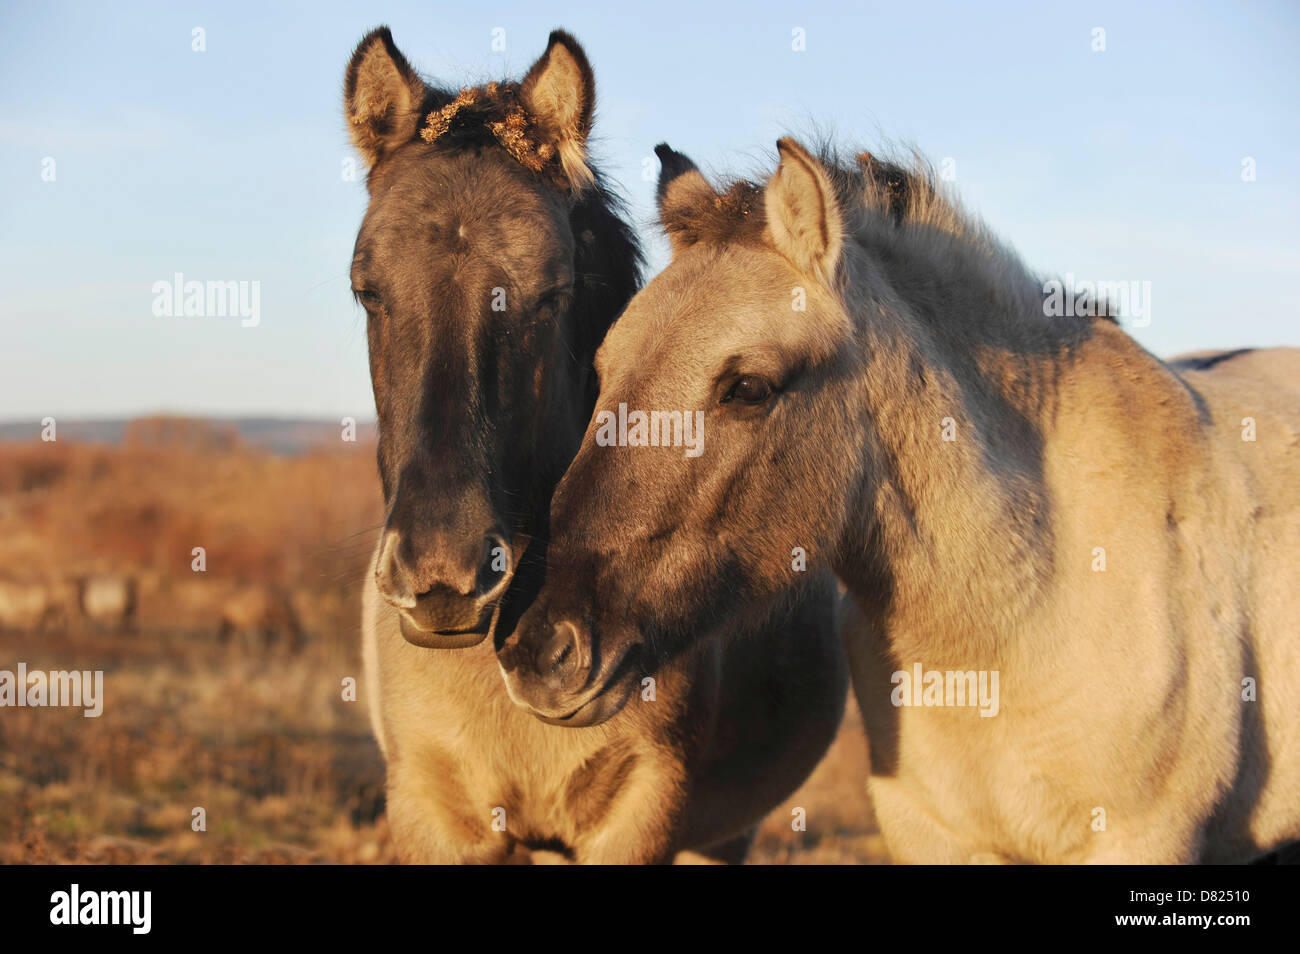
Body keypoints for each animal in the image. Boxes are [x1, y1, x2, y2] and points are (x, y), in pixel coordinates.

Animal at [498, 135, 1300, 863]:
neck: (1020, 613)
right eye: (605, 370)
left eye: (748, 388)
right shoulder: (930, 836)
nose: (538, 648)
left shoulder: (1141, 839)